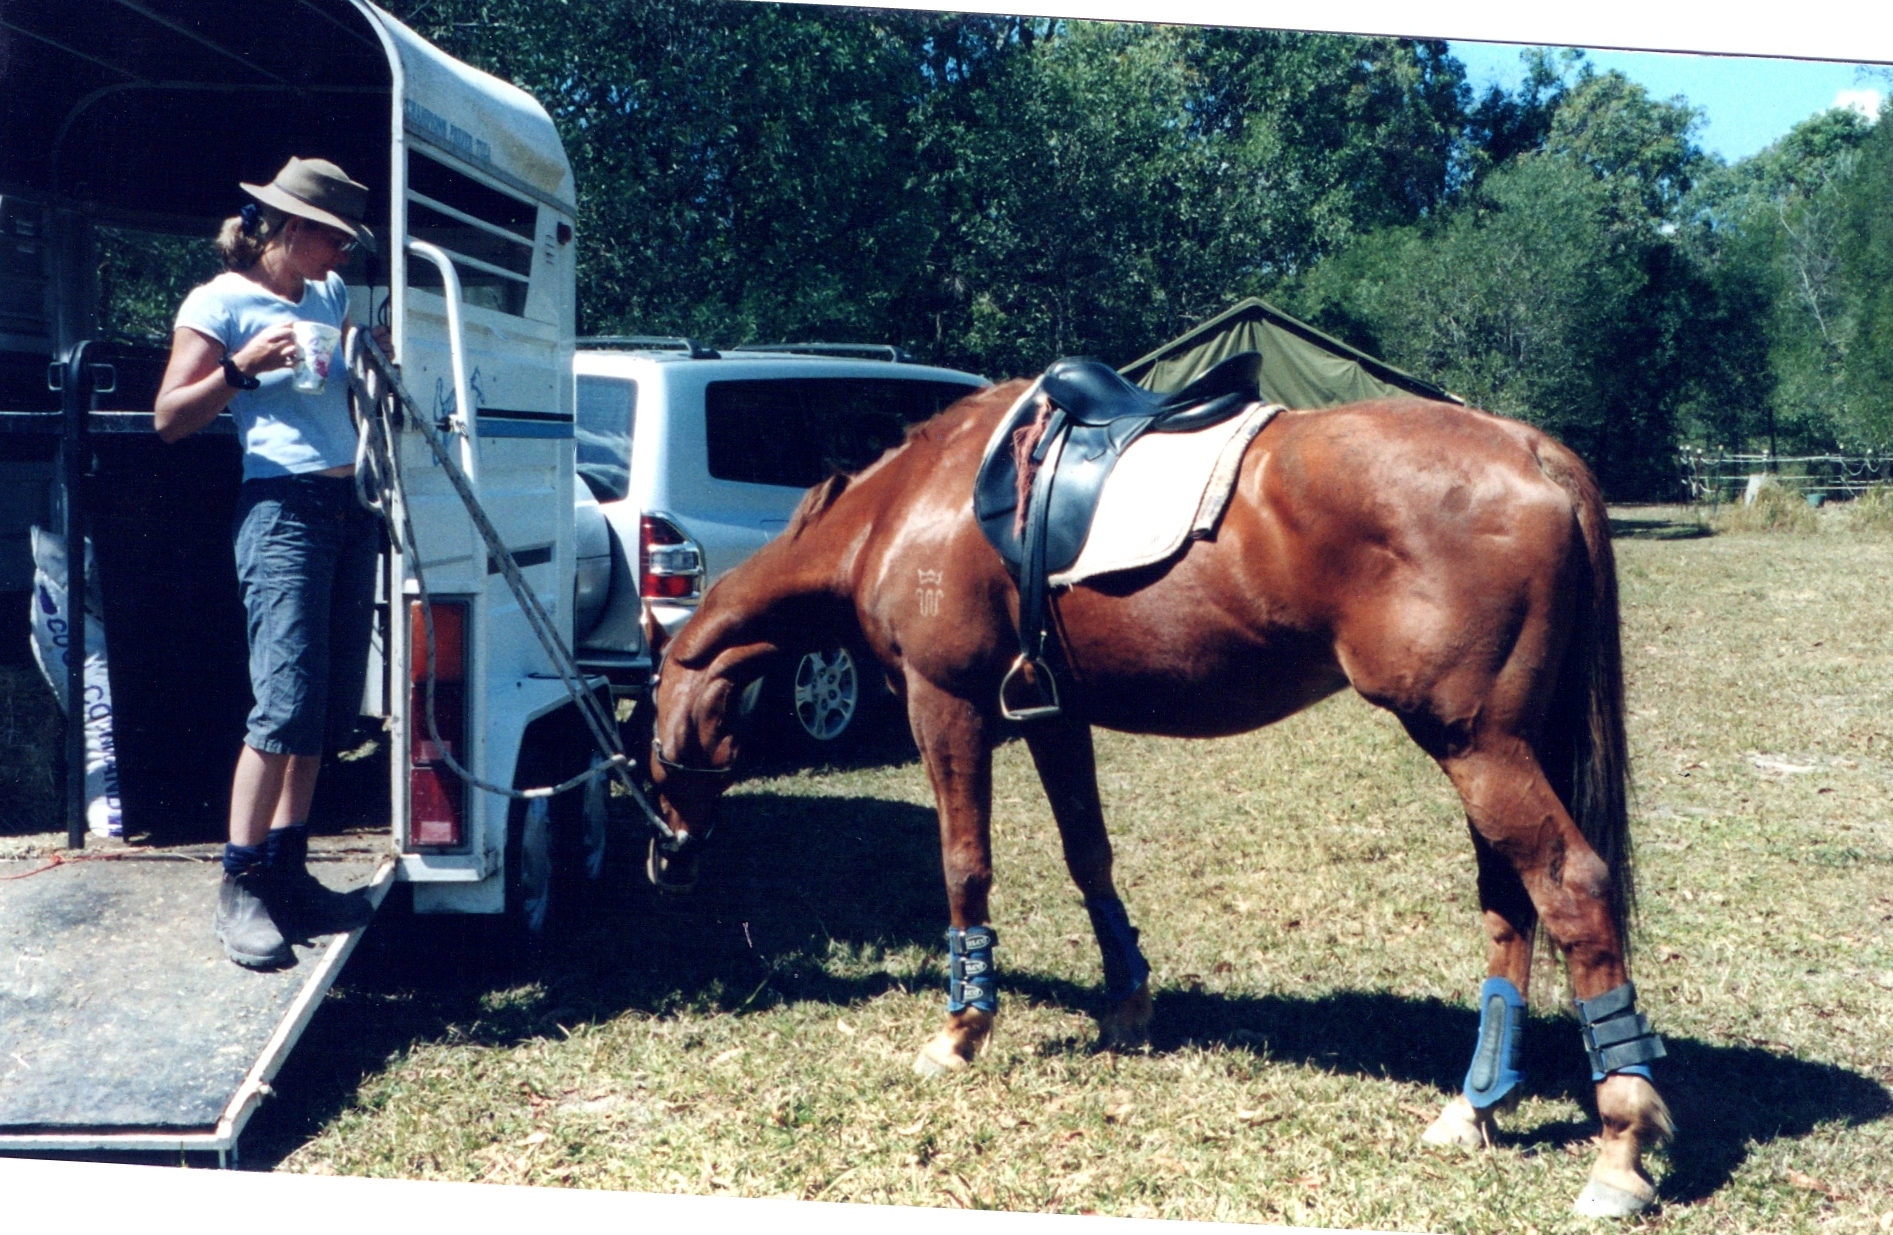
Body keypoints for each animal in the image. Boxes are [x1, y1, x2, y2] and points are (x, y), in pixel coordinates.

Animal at [644, 375, 1673, 1217]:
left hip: (1477, 747)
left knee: (1570, 887)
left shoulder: (950, 710)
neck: (906, 508)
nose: (668, 853)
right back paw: (1473, 1105)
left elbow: (964, 865)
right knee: (1510, 903)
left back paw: (1617, 1147)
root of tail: (1529, 449)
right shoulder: (1053, 715)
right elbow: (1087, 853)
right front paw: (1128, 1004)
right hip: (1491, 748)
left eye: (648, 704)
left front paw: (961, 1028)